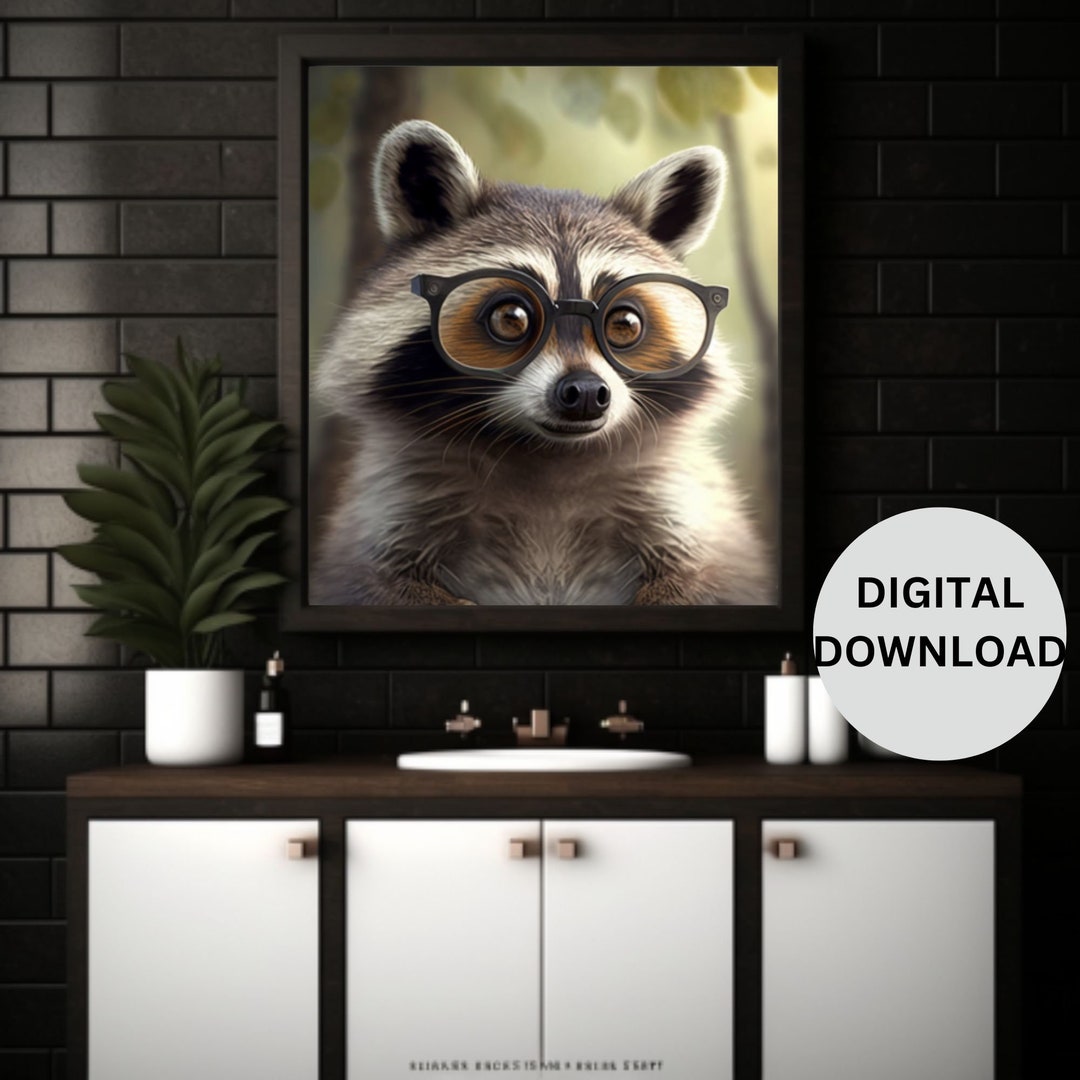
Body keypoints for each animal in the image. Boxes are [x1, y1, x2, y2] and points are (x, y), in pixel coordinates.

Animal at [312, 119, 775, 607]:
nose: (586, 393)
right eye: (511, 318)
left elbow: (715, 578)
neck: (548, 458)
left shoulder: (682, 503)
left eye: (624, 324)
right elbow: (370, 581)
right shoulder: (393, 501)